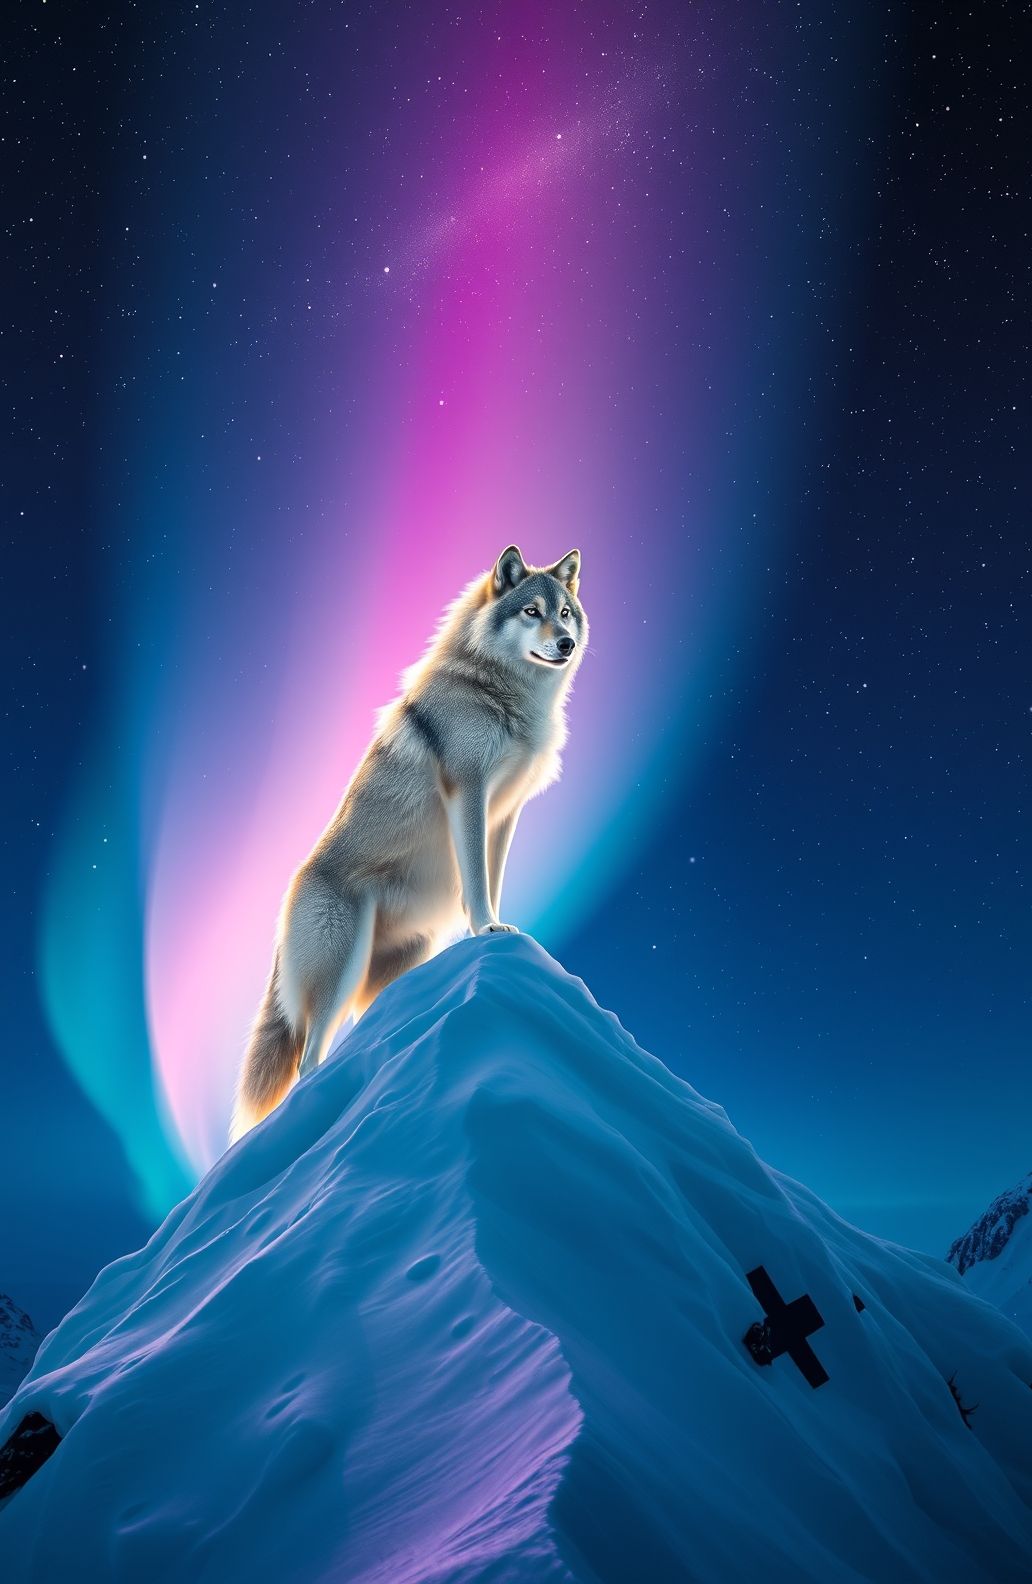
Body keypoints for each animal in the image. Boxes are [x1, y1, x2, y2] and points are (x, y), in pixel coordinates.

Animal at [229, 544, 587, 1142]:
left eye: (564, 612)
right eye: (531, 612)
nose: (567, 644)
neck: (500, 693)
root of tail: (288, 902)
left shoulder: (507, 812)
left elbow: (490, 877)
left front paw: (495, 926)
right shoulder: (468, 791)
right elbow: (475, 875)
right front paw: (486, 928)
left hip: (389, 972)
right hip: (340, 970)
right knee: (307, 1060)